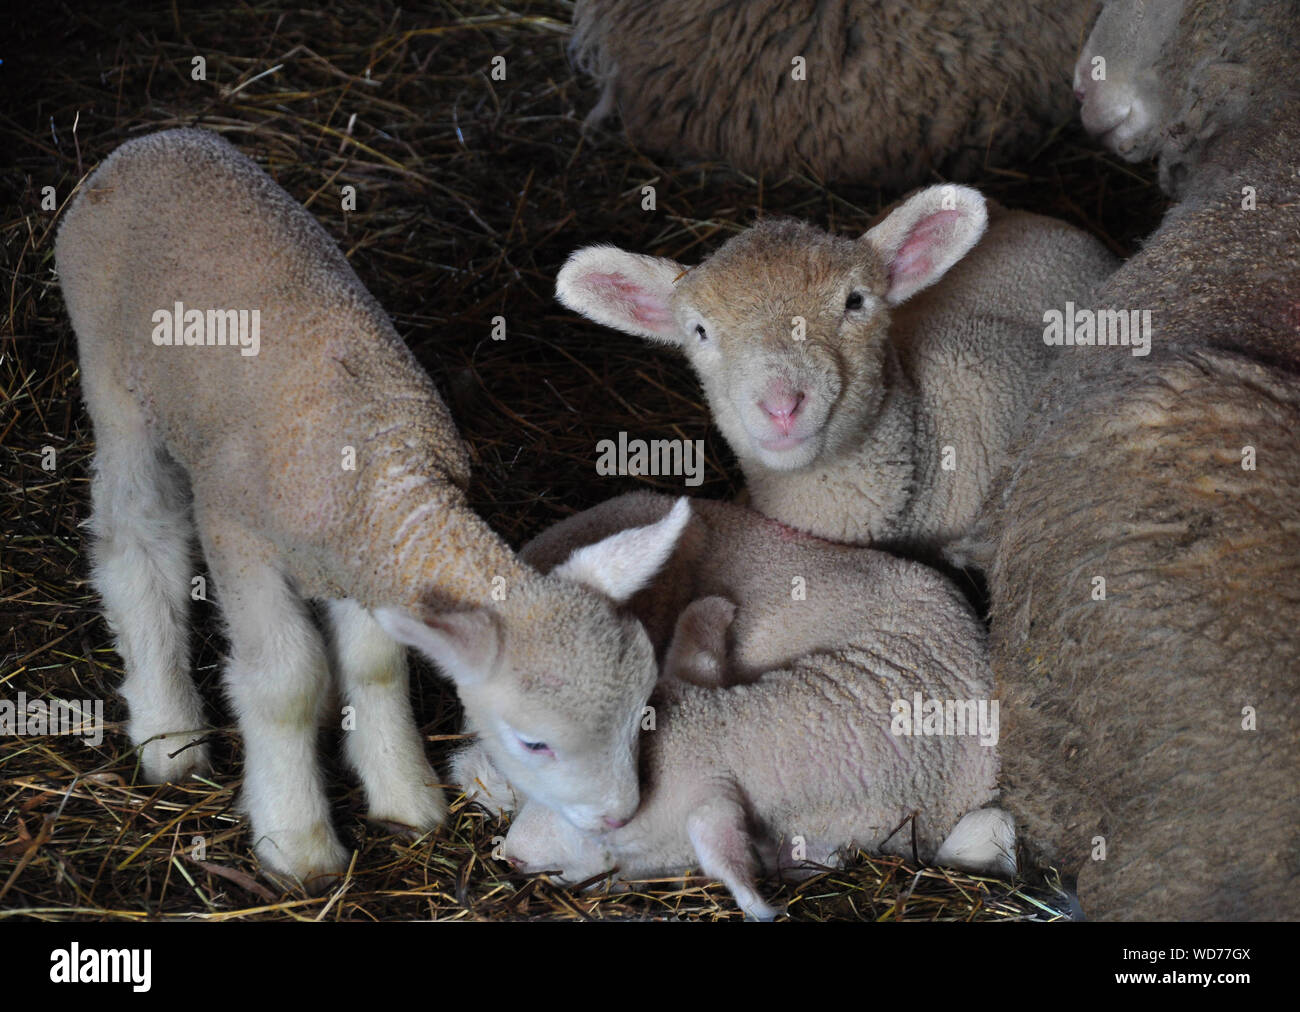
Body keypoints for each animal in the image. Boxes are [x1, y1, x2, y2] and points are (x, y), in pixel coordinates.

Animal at [54, 127, 694, 888]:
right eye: (533, 743)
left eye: (640, 711)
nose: (619, 818)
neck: (388, 482)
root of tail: (154, 141)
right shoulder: (238, 533)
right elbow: (284, 681)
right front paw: (297, 841)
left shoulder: (367, 555)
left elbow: (377, 663)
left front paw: (403, 795)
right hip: (114, 377)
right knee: (137, 534)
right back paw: (166, 726)